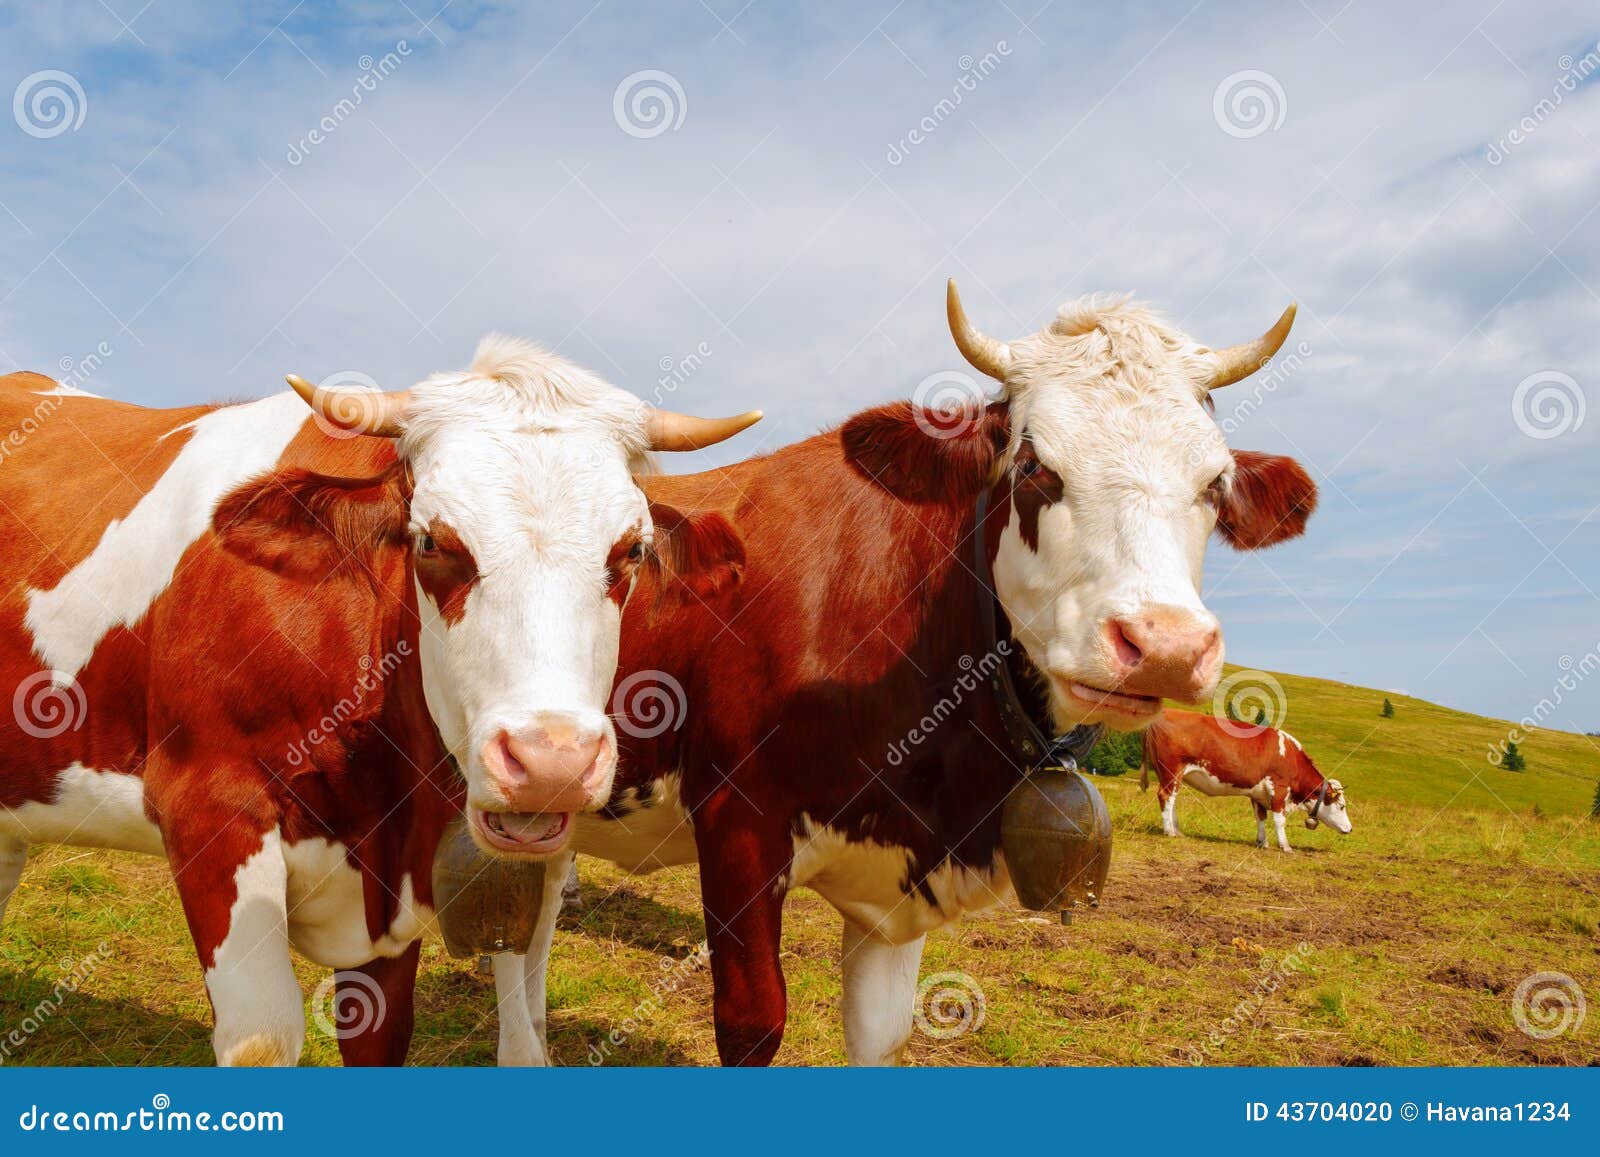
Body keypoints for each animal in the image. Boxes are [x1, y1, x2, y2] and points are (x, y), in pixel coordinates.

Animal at [0, 337, 756, 1066]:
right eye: (430, 541)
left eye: (632, 550)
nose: (552, 763)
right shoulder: (210, 812)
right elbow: (262, 1038)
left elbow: (380, 1033)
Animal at [487, 282, 1321, 1067]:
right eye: (1034, 467)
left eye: (1215, 483)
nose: (1166, 644)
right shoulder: (737, 826)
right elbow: (753, 1023)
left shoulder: (900, 885)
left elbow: (882, 1033)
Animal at [1140, 709, 1352, 851]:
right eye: (1341, 806)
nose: (1350, 829)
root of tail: (1166, 712)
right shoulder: (1279, 788)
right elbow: (1279, 820)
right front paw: (1285, 846)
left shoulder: (1258, 793)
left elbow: (1261, 818)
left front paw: (1262, 842)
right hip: (1172, 770)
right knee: (1165, 796)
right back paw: (1169, 831)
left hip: (1170, 775)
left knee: (1171, 800)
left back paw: (1177, 830)